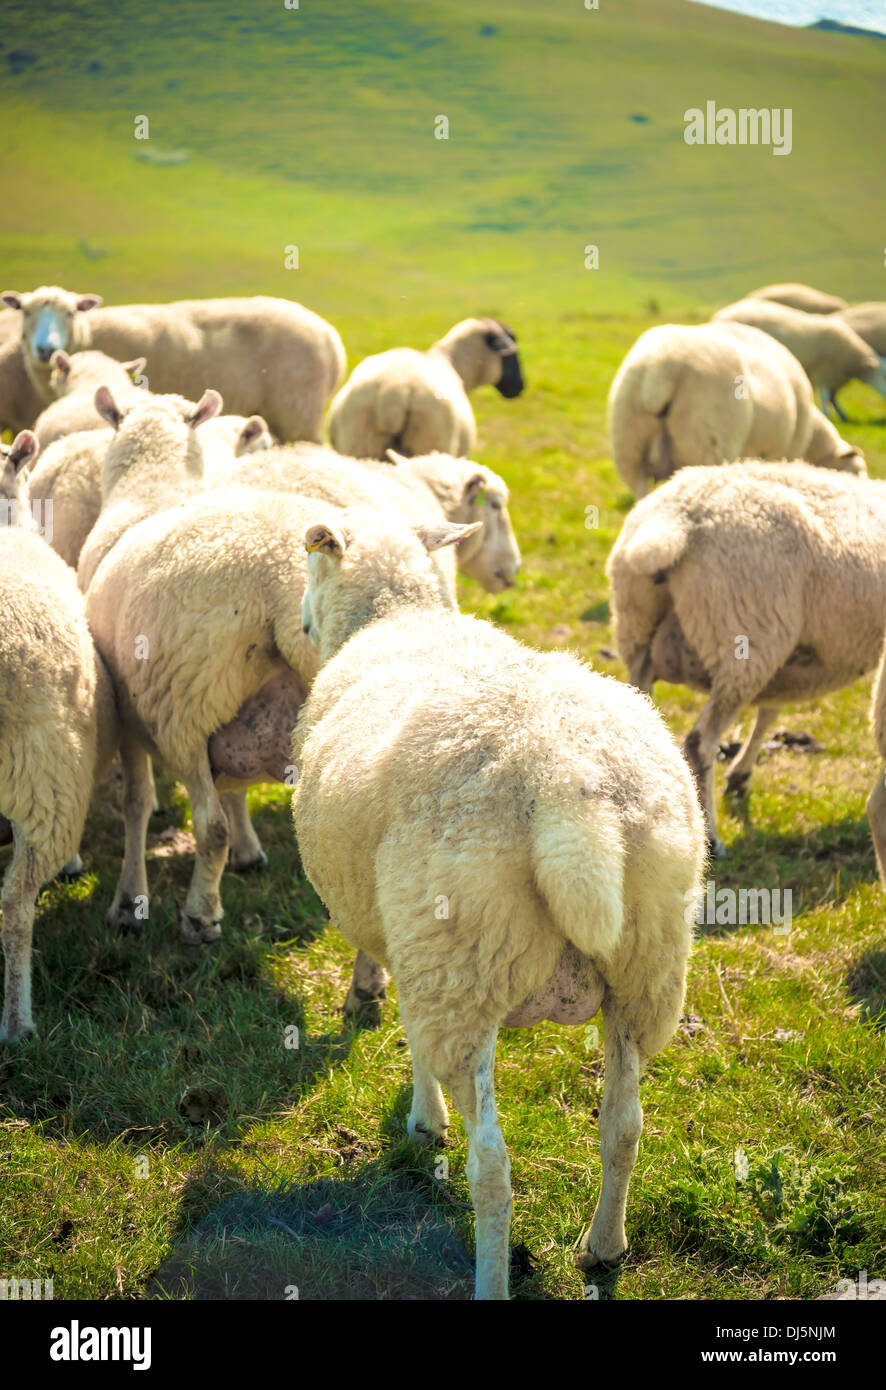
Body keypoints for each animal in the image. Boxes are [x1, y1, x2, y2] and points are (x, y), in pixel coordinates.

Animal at [0, 286, 346, 441]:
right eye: (26, 312)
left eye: (70, 313)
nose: (46, 349)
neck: (88, 332)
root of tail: (331, 337)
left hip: (300, 412)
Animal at [290, 506, 705, 1299]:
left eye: (313, 562)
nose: (297, 623)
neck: (399, 617)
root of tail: (567, 779)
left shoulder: (404, 934)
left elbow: (403, 1019)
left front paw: (423, 1118)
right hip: (645, 969)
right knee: (624, 1125)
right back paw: (603, 1247)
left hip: (464, 967)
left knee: (491, 1164)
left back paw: (489, 1274)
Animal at [327, 318, 523, 459]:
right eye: (511, 353)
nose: (520, 386)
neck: (454, 362)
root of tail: (394, 391)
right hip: (430, 443)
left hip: (360, 442)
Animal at [607, 460, 886, 855]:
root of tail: (676, 517)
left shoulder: (788, 661)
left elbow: (770, 713)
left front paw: (741, 776)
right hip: (744, 641)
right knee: (700, 744)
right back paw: (710, 837)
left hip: (640, 630)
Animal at [713, 297, 886, 421]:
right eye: (884, 376)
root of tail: (721, 314)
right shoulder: (826, 372)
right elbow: (826, 396)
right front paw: (828, 415)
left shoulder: (834, 377)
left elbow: (832, 397)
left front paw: (842, 415)